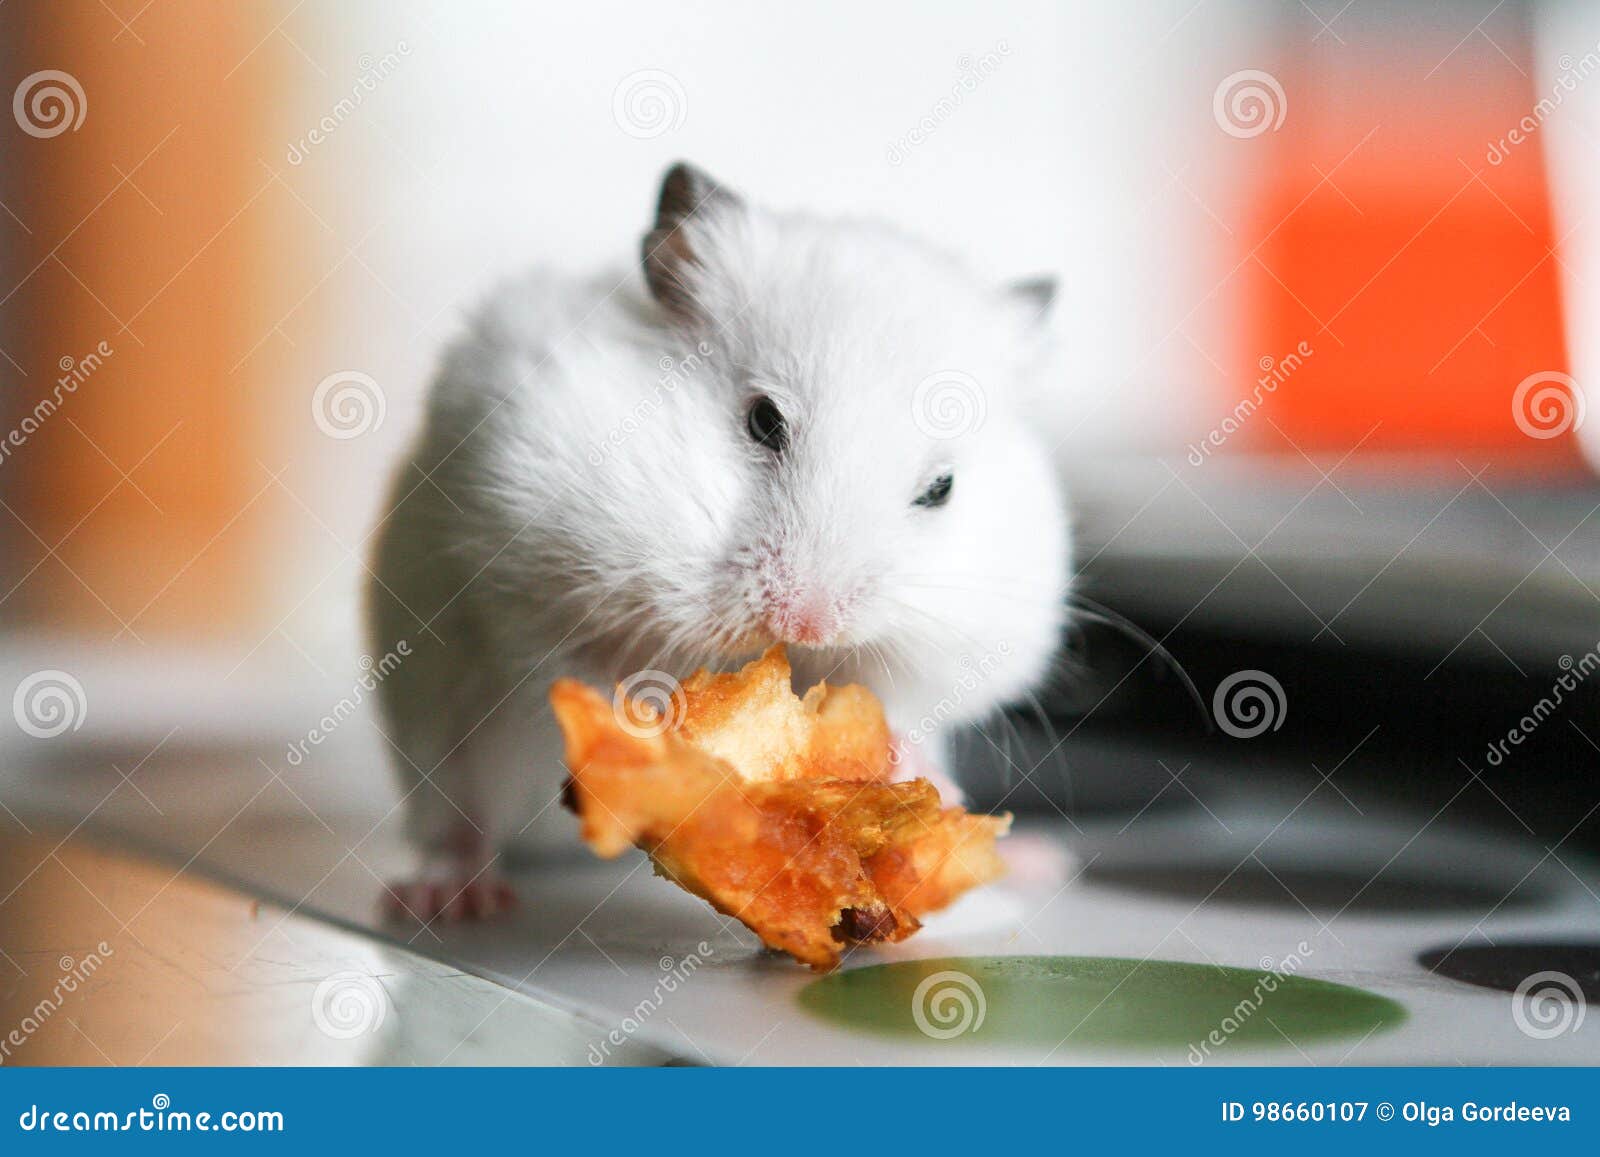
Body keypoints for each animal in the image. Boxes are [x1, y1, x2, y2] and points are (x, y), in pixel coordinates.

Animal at [367, 163, 1070, 920]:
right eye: (764, 421)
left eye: (941, 488)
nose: (809, 623)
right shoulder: (524, 572)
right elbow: (587, 662)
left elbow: (902, 702)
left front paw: (896, 763)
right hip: (436, 728)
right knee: (458, 817)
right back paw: (450, 896)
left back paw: (1035, 861)